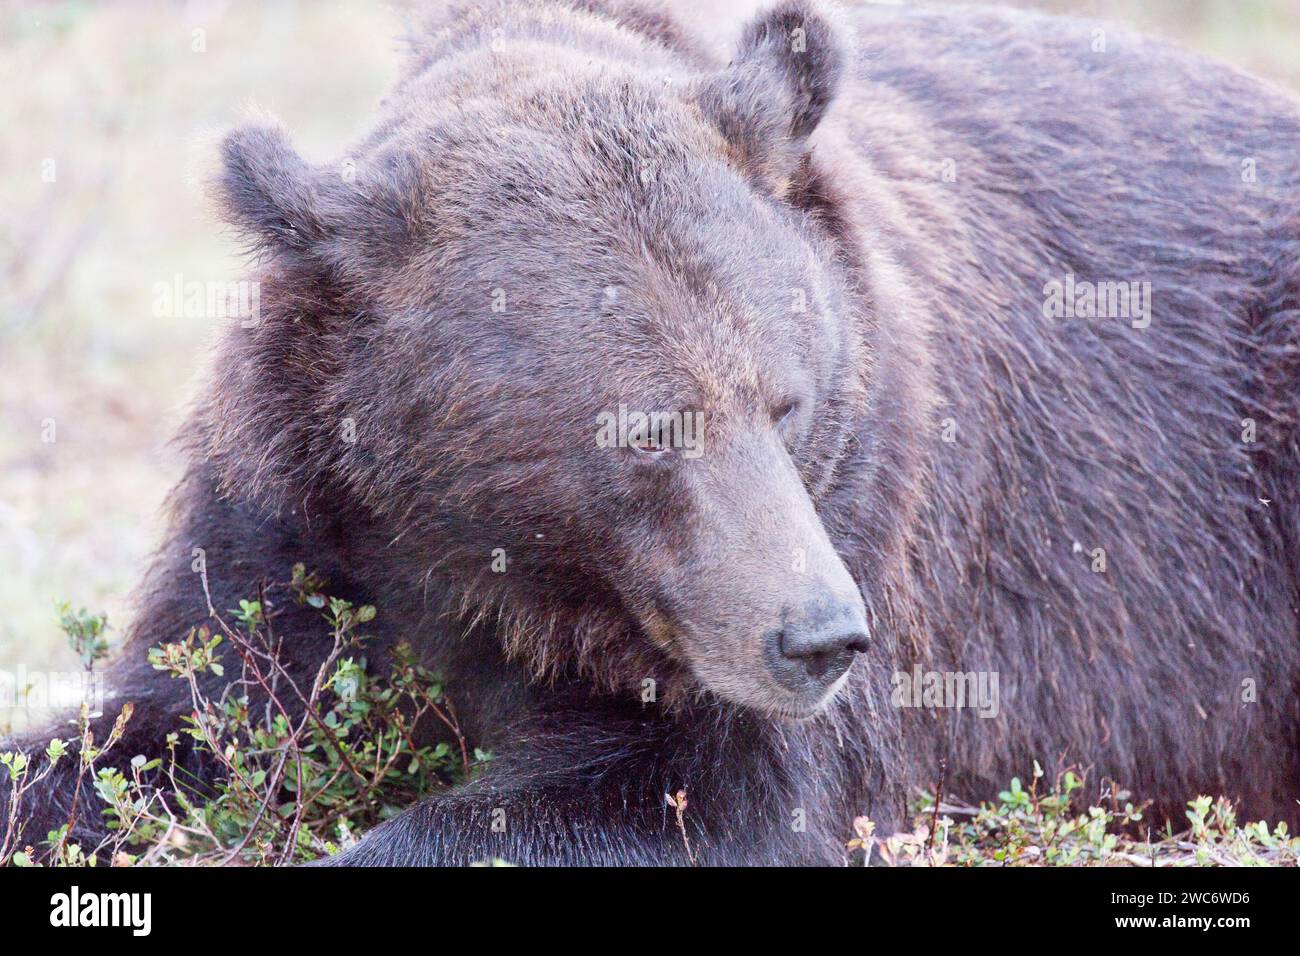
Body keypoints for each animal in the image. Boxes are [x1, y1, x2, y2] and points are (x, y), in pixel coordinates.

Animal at [5, 0, 1300, 865]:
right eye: (642, 428)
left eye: (786, 399)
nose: (816, 635)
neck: (509, 569)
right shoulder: (294, 504)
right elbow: (180, 713)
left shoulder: (866, 511)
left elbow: (697, 790)